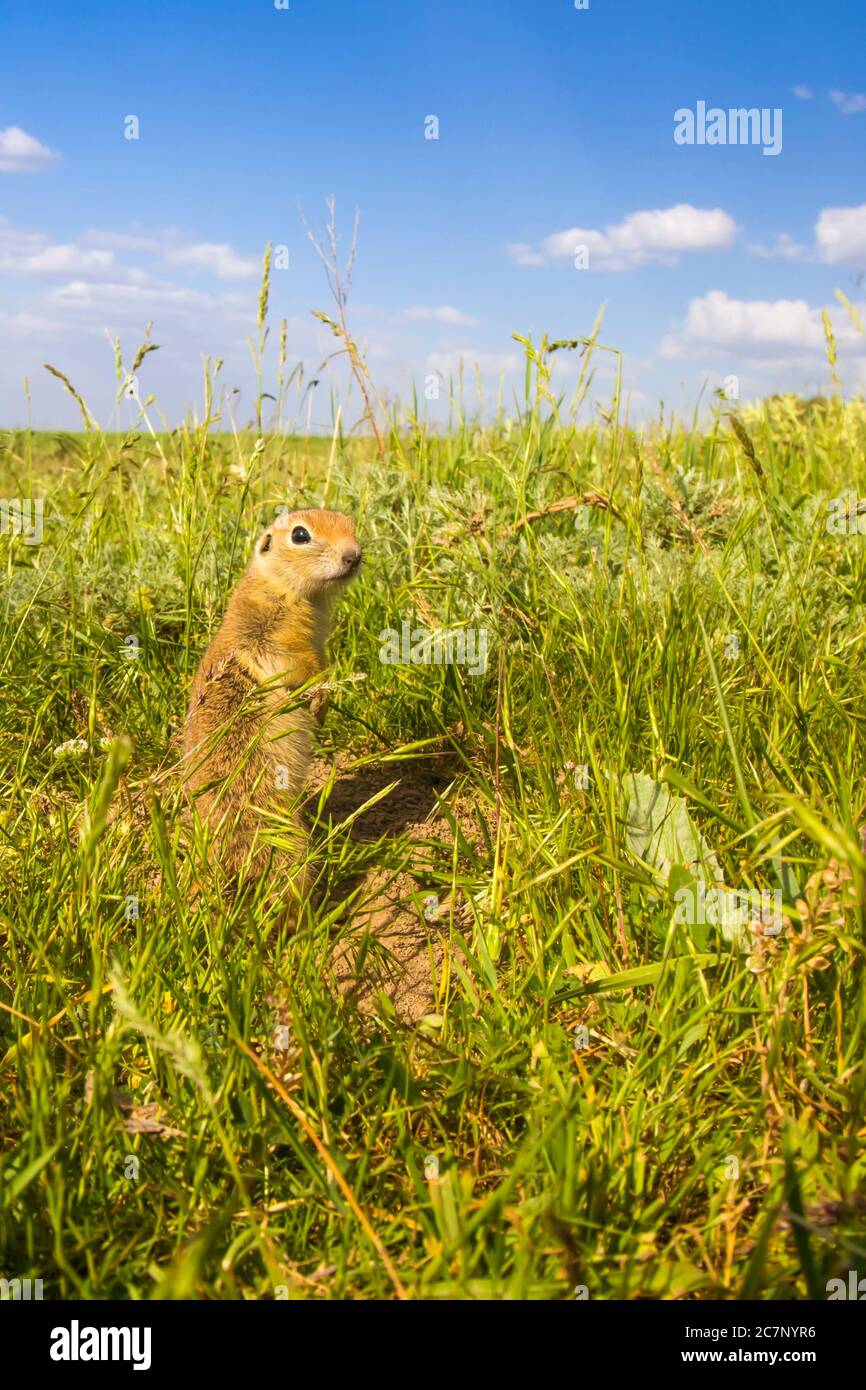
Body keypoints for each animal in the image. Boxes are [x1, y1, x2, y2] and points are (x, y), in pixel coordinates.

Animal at [182, 508, 361, 903]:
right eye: (300, 535)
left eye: (351, 523)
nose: (354, 556)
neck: (284, 587)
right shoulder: (276, 638)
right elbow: (302, 669)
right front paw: (320, 701)